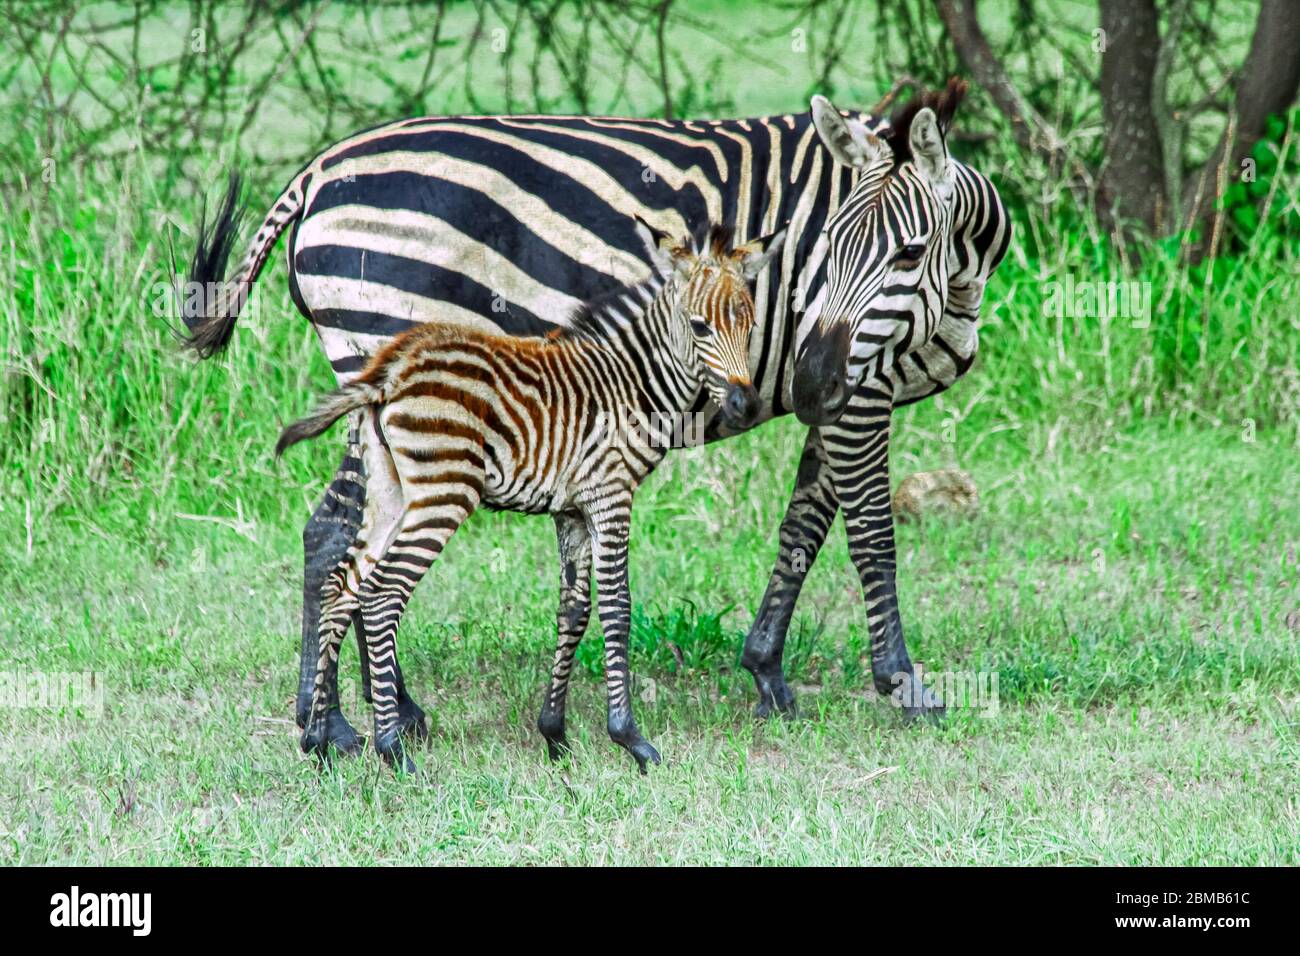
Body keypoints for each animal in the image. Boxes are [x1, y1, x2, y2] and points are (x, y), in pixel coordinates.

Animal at [275, 218, 786, 771]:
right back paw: (393, 749)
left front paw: (555, 734)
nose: (744, 403)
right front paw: (630, 738)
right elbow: (617, 608)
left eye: (750, 326)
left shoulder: (572, 510)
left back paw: (319, 740)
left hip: (390, 492)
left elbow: (573, 611)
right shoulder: (610, 495)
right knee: (383, 594)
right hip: (443, 493)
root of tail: (391, 368)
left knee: (343, 586)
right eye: (699, 327)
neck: (632, 383)